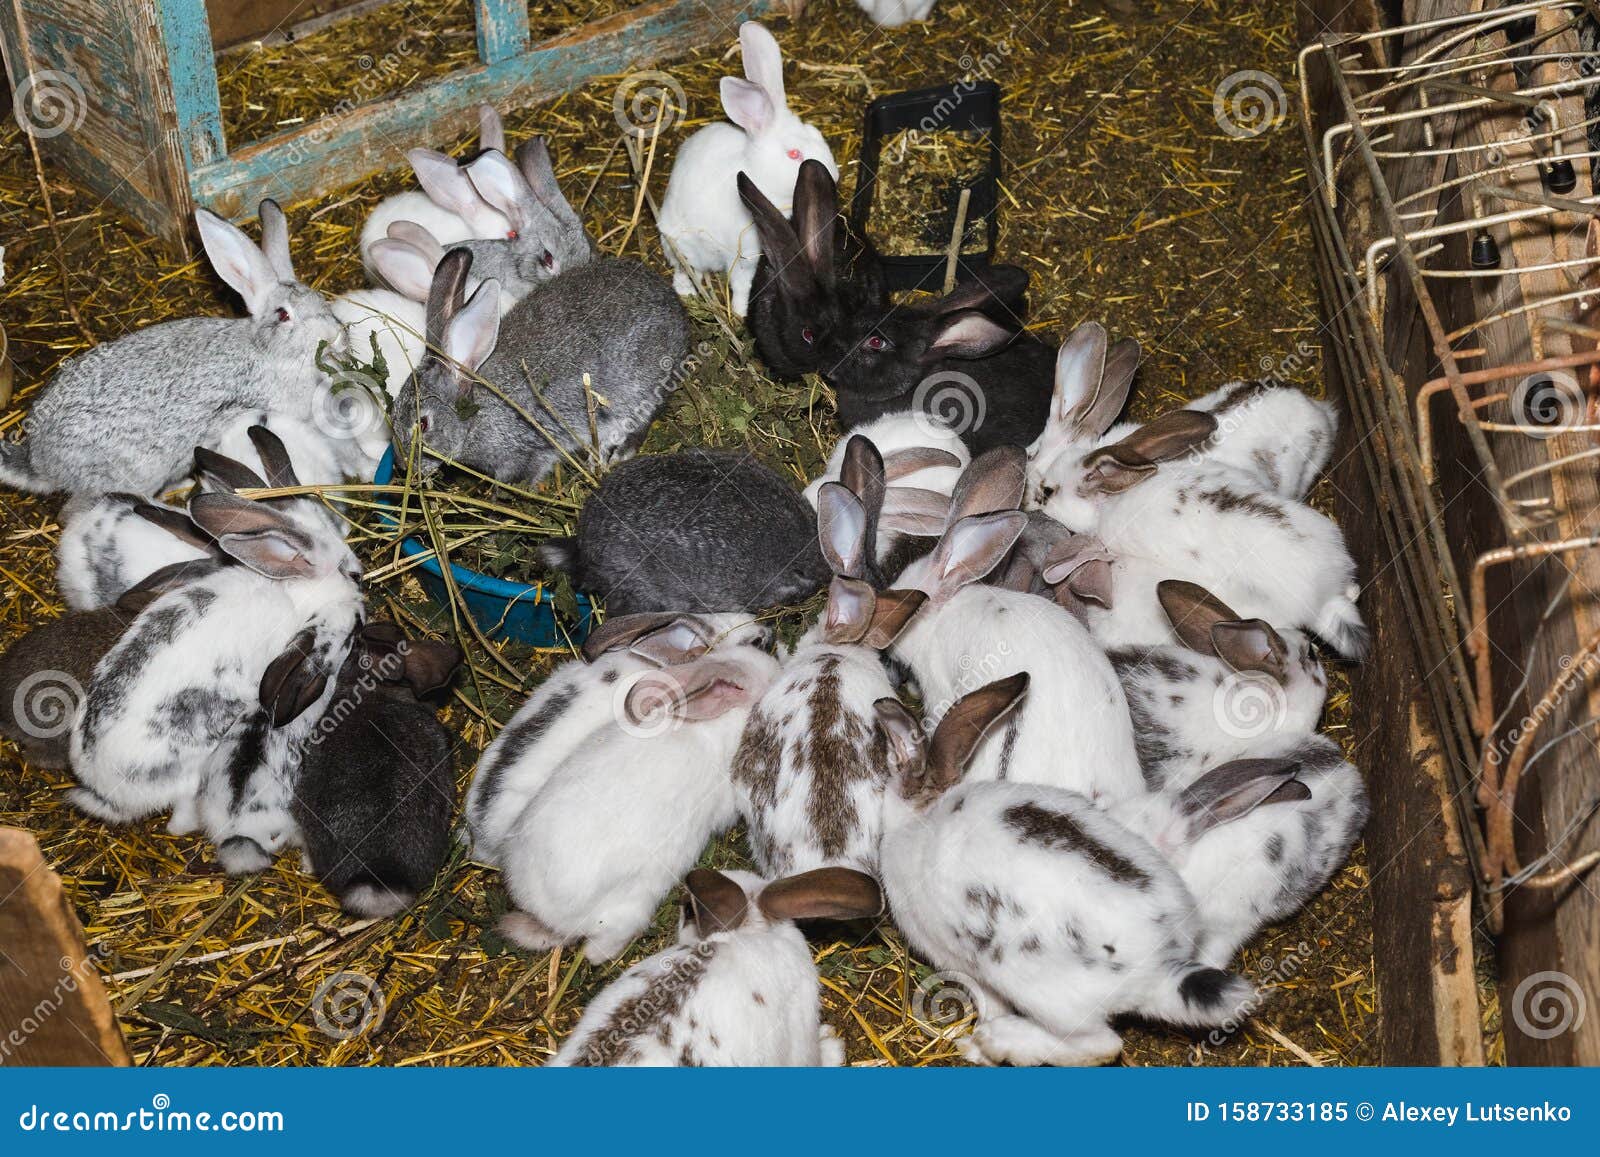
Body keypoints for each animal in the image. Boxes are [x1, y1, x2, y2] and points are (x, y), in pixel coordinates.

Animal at [389, 243, 689, 487]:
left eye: (423, 424)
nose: (403, 467)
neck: (475, 415)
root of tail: (680, 318)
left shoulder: (528, 452)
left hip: (637, 392)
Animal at [657, 21, 838, 318]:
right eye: (793, 154)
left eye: (817, 133)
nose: (835, 174)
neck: (757, 174)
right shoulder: (742, 255)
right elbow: (742, 285)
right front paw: (742, 312)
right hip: (678, 243)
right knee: (684, 268)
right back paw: (687, 291)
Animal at [876, 673, 1257, 1067]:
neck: (920, 816)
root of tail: (1159, 969)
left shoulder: (958, 960)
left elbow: (989, 1003)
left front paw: (976, 1050)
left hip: (1046, 995)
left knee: (1101, 1045)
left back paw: (999, 1040)